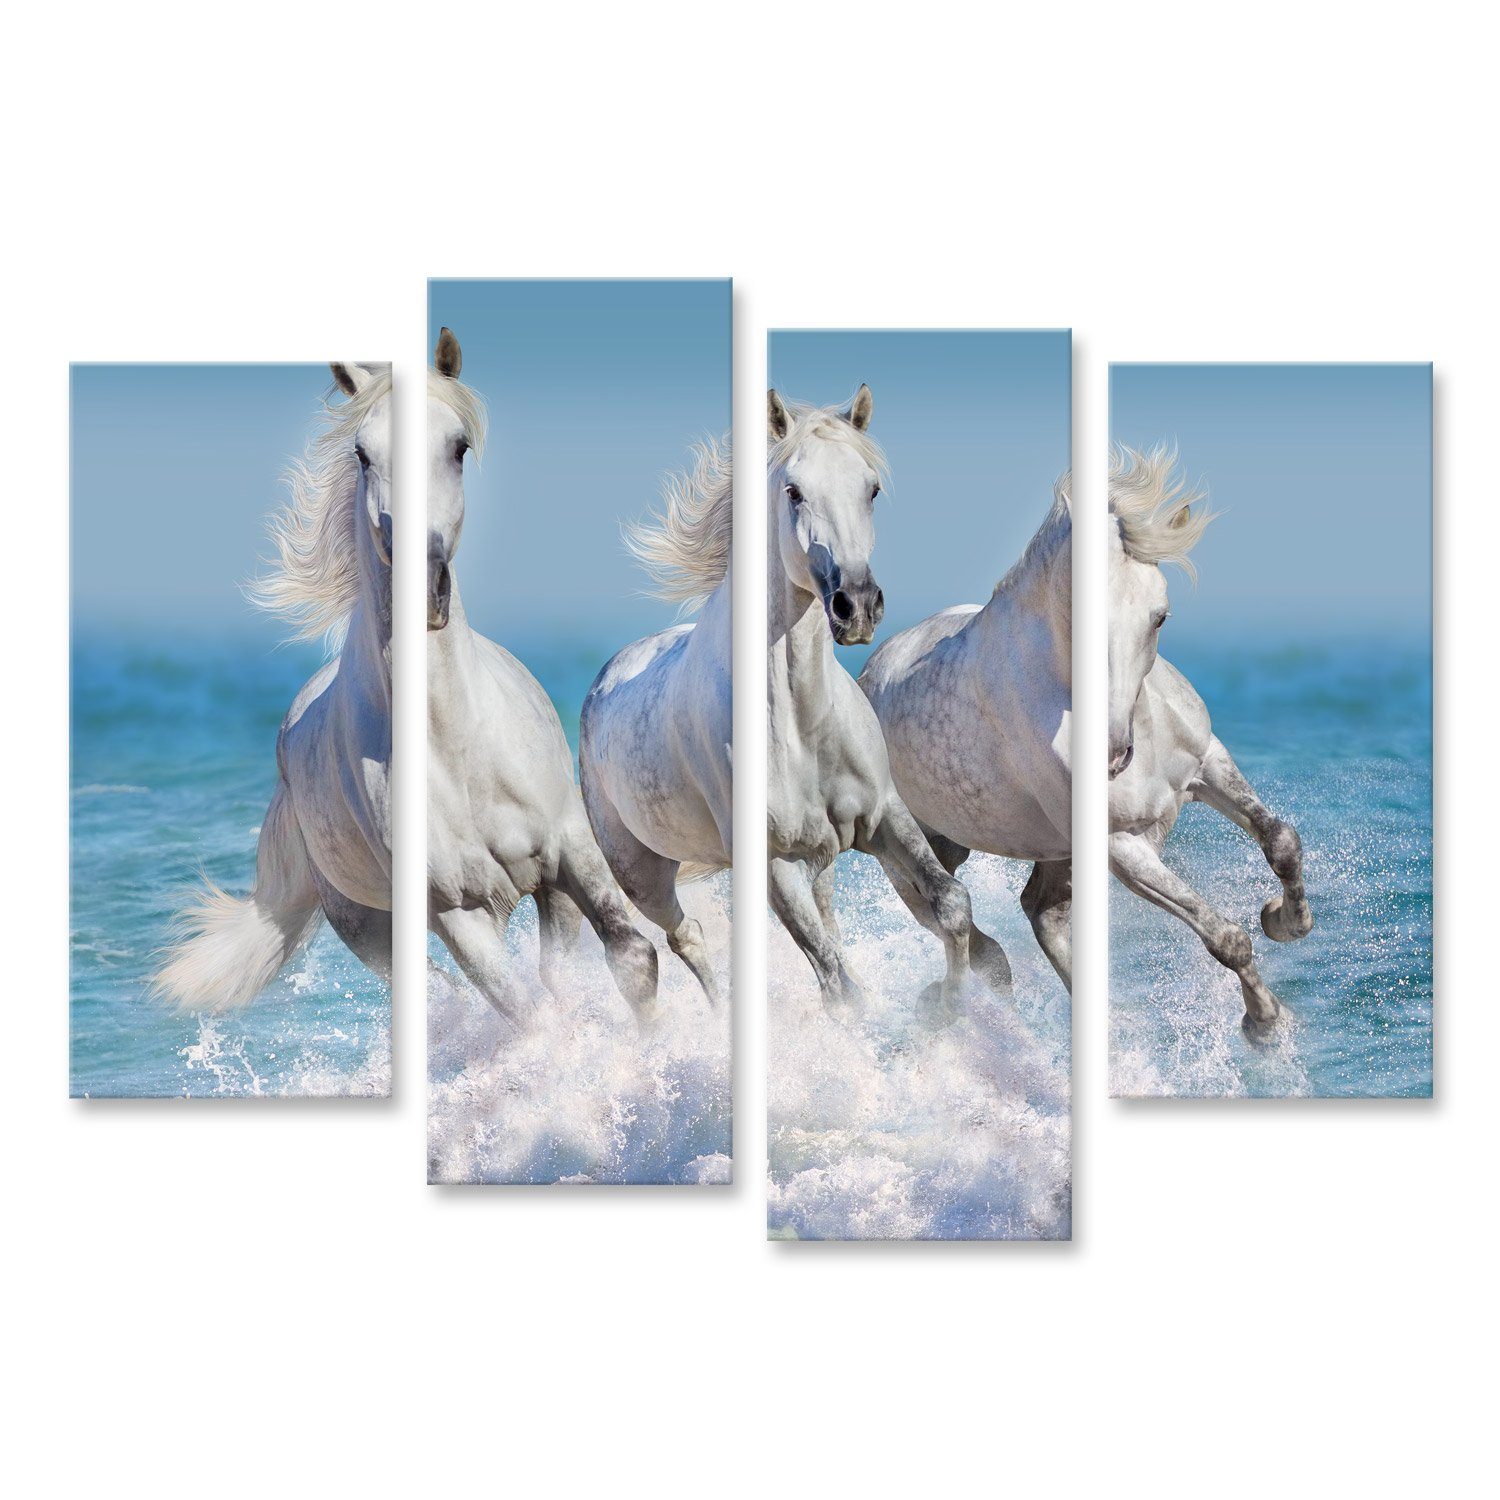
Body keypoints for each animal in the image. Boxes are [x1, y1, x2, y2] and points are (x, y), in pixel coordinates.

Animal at [765, 386, 987, 1015]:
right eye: (793, 490)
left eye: (872, 489)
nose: (857, 605)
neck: (805, 724)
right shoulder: (775, 863)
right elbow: (836, 980)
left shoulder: (885, 812)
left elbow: (952, 903)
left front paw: (947, 1008)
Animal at [1106, 445, 1313, 1034]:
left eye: (1160, 616)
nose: (1115, 753)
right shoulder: (1122, 847)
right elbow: (1223, 937)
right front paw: (1264, 1021)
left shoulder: (1207, 762)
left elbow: (1281, 841)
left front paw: (1284, 920)